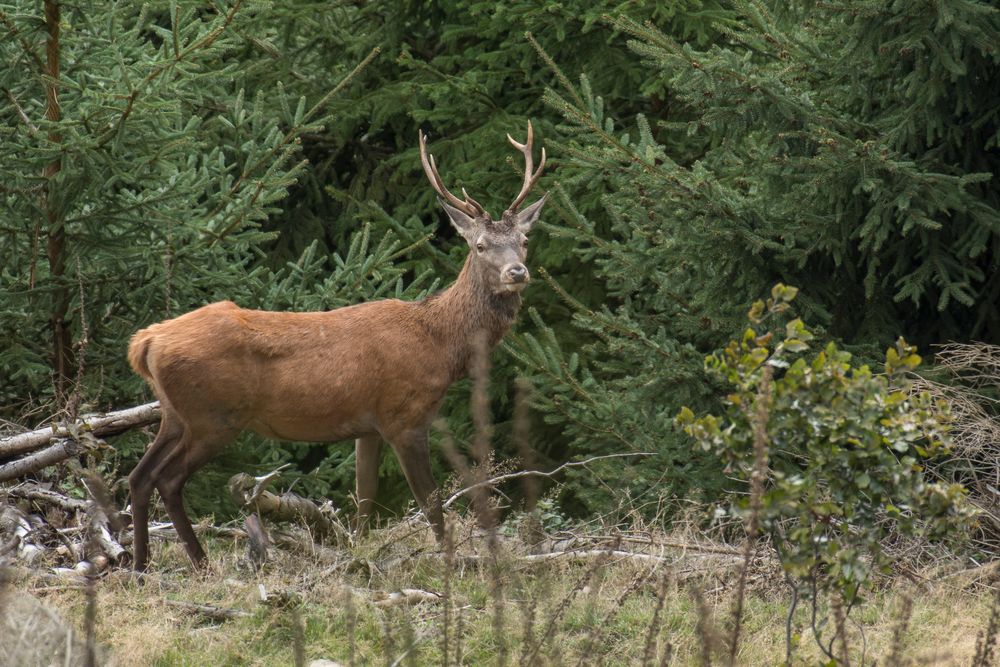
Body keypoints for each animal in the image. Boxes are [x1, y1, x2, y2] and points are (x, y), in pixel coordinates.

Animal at [126, 122, 548, 570]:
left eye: (523, 239)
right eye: (480, 245)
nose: (517, 272)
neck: (439, 344)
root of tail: (146, 341)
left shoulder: (369, 426)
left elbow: (364, 499)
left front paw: (360, 559)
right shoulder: (405, 416)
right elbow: (430, 502)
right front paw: (451, 562)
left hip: (175, 413)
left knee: (139, 475)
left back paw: (140, 564)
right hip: (213, 416)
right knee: (167, 479)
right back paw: (196, 561)